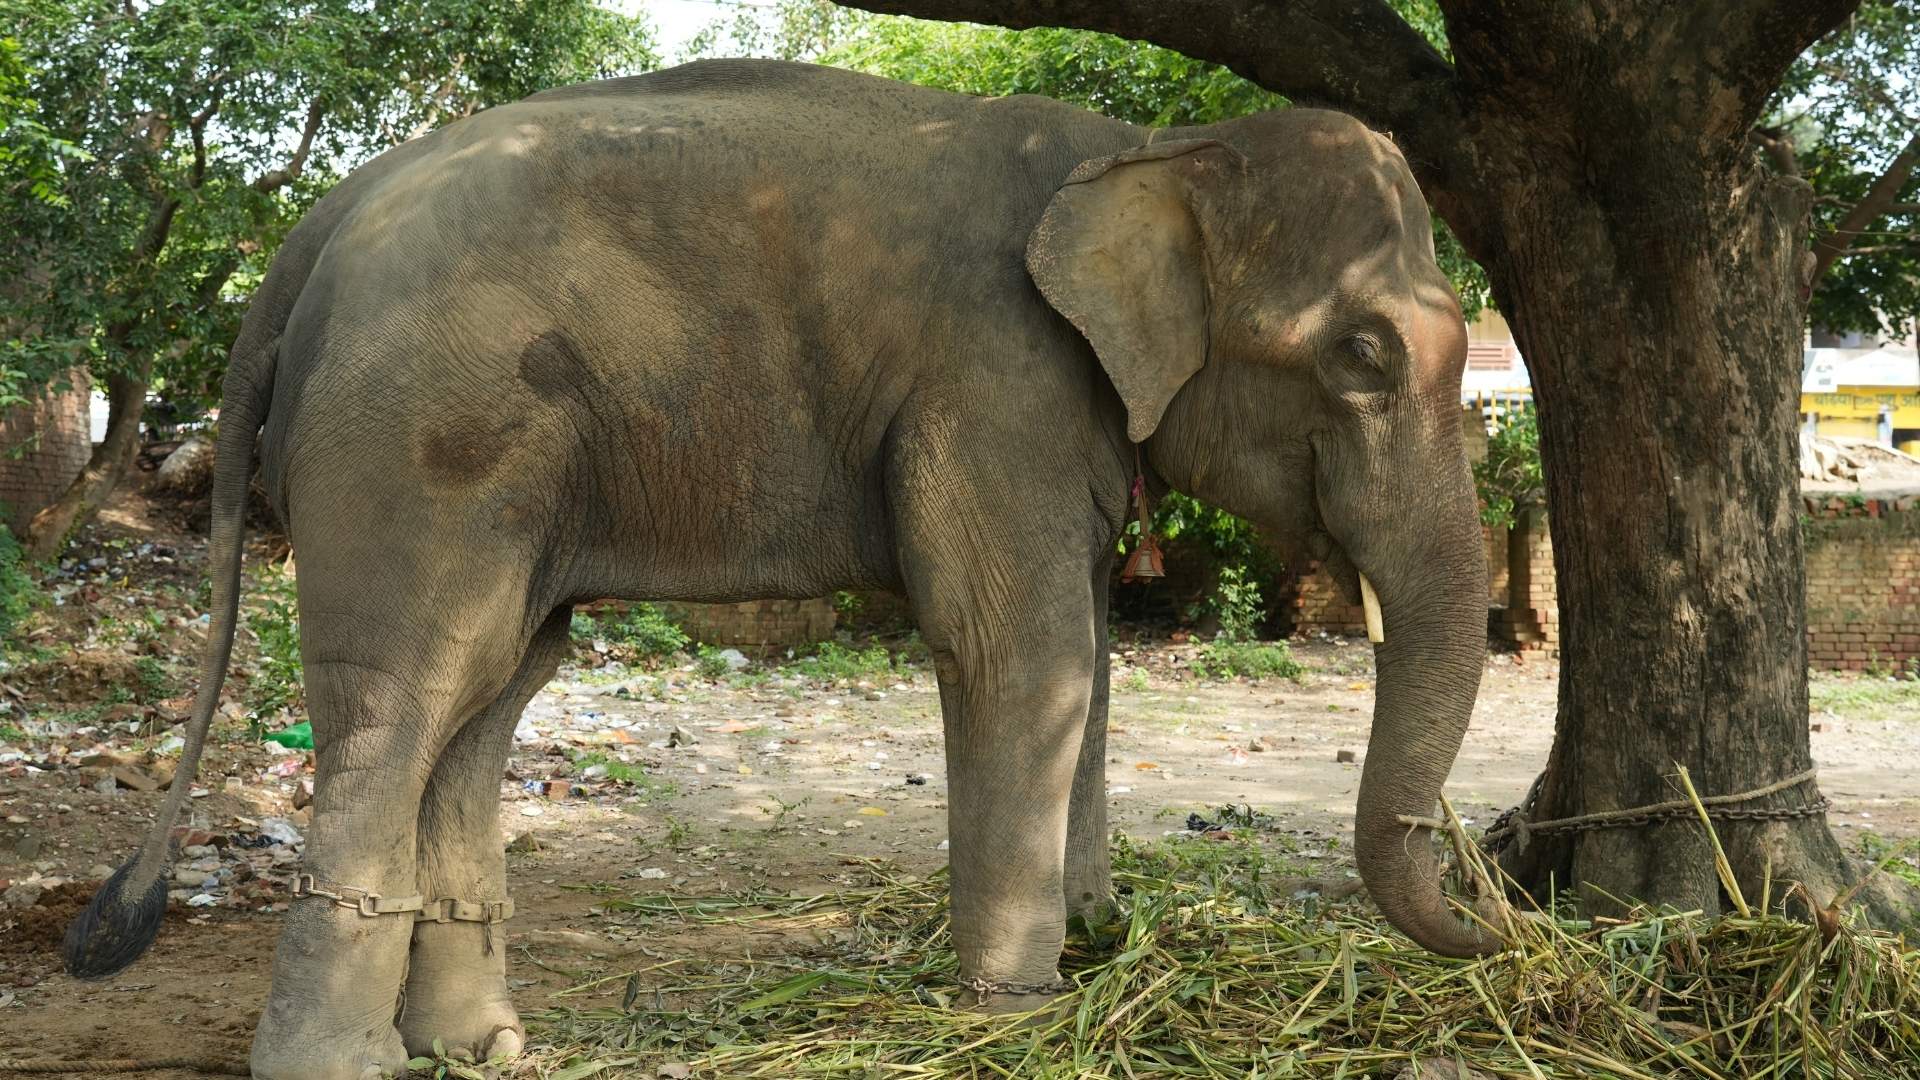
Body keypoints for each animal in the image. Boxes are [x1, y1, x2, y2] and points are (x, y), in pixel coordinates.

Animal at [63, 58, 1491, 1078]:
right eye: (1361, 356)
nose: (1499, 922)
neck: (1139, 146)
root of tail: (322, 222)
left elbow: (1081, 668)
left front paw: (1100, 944)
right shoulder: (995, 376)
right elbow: (1016, 652)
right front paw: (1021, 1014)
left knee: (493, 688)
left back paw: (483, 1052)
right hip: (419, 440)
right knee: (401, 700)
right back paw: (343, 1066)